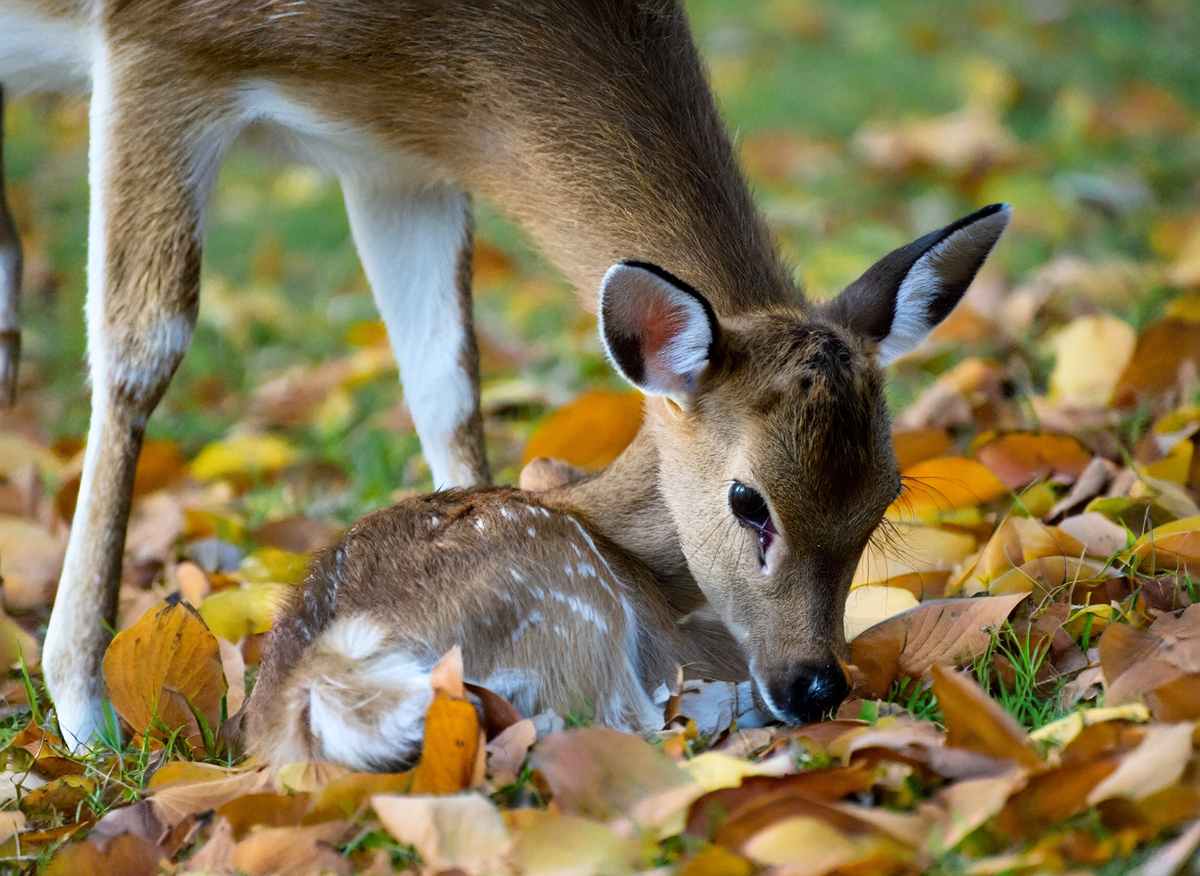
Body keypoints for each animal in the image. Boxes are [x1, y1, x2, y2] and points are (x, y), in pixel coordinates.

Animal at [0, 0, 1010, 751]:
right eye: (746, 501)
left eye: (885, 495)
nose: (815, 686)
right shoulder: (153, 49)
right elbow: (139, 350)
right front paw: (85, 714)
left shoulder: (393, 155)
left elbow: (446, 382)